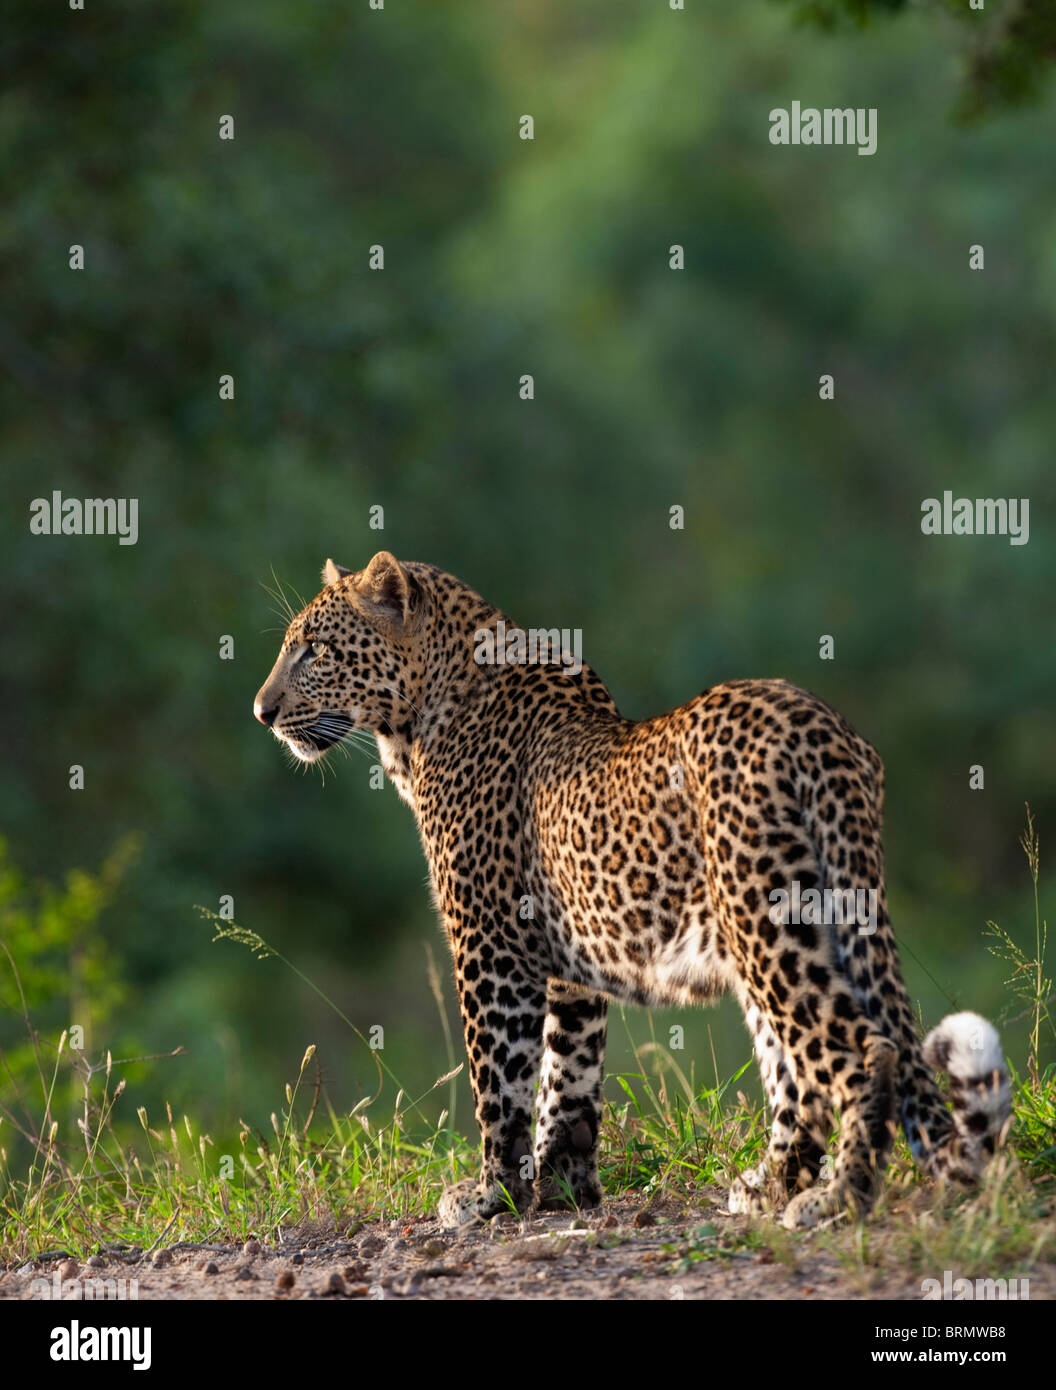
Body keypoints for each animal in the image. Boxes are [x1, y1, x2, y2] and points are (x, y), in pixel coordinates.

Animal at [254, 551, 1010, 1230]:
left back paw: (834, 1200)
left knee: (861, 1053)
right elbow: (568, 1076)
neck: (420, 724)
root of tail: (819, 729)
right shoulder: (567, 965)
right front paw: (563, 1188)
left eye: (315, 650)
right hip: (809, 922)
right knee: (805, 1070)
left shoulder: (491, 948)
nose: (261, 711)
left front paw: (489, 1196)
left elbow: (499, 1077)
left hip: (766, 921)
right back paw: (769, 1187)